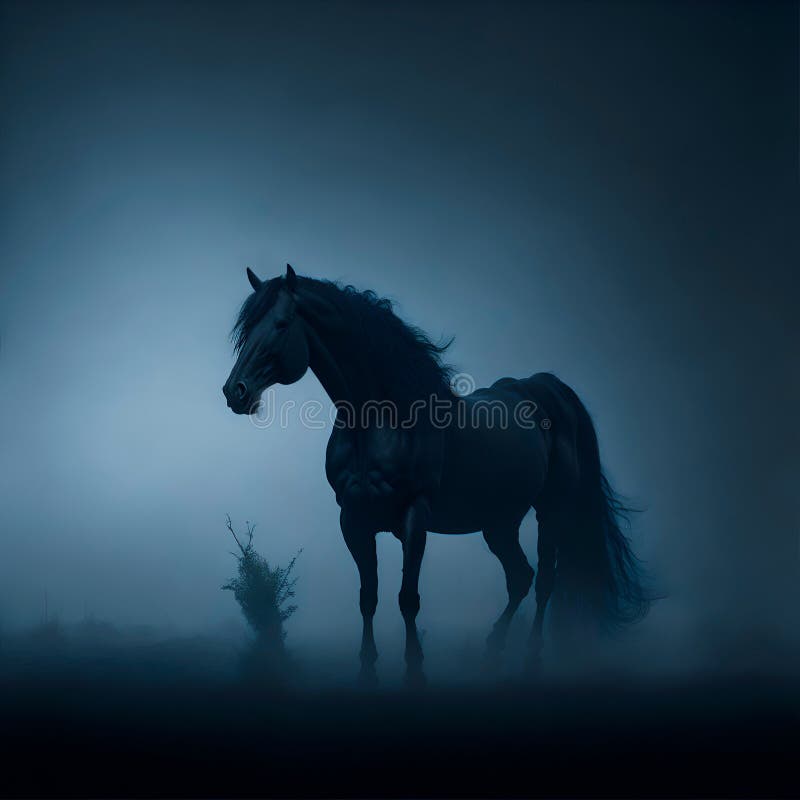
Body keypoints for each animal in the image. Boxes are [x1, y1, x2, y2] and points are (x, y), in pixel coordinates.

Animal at [223, 264, 651, 684]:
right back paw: (491, 655)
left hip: (551, 510)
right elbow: (368, 596)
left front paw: (416, 672)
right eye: (247, 330)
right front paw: (367, 672)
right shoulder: (353, 518)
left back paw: (530, 660)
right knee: (520, 576)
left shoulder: (416, 515)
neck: (382, 421)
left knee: (545, 578)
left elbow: (407, 600)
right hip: (499, 522)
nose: (235, 392)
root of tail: (545, 388)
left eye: (281, 324)